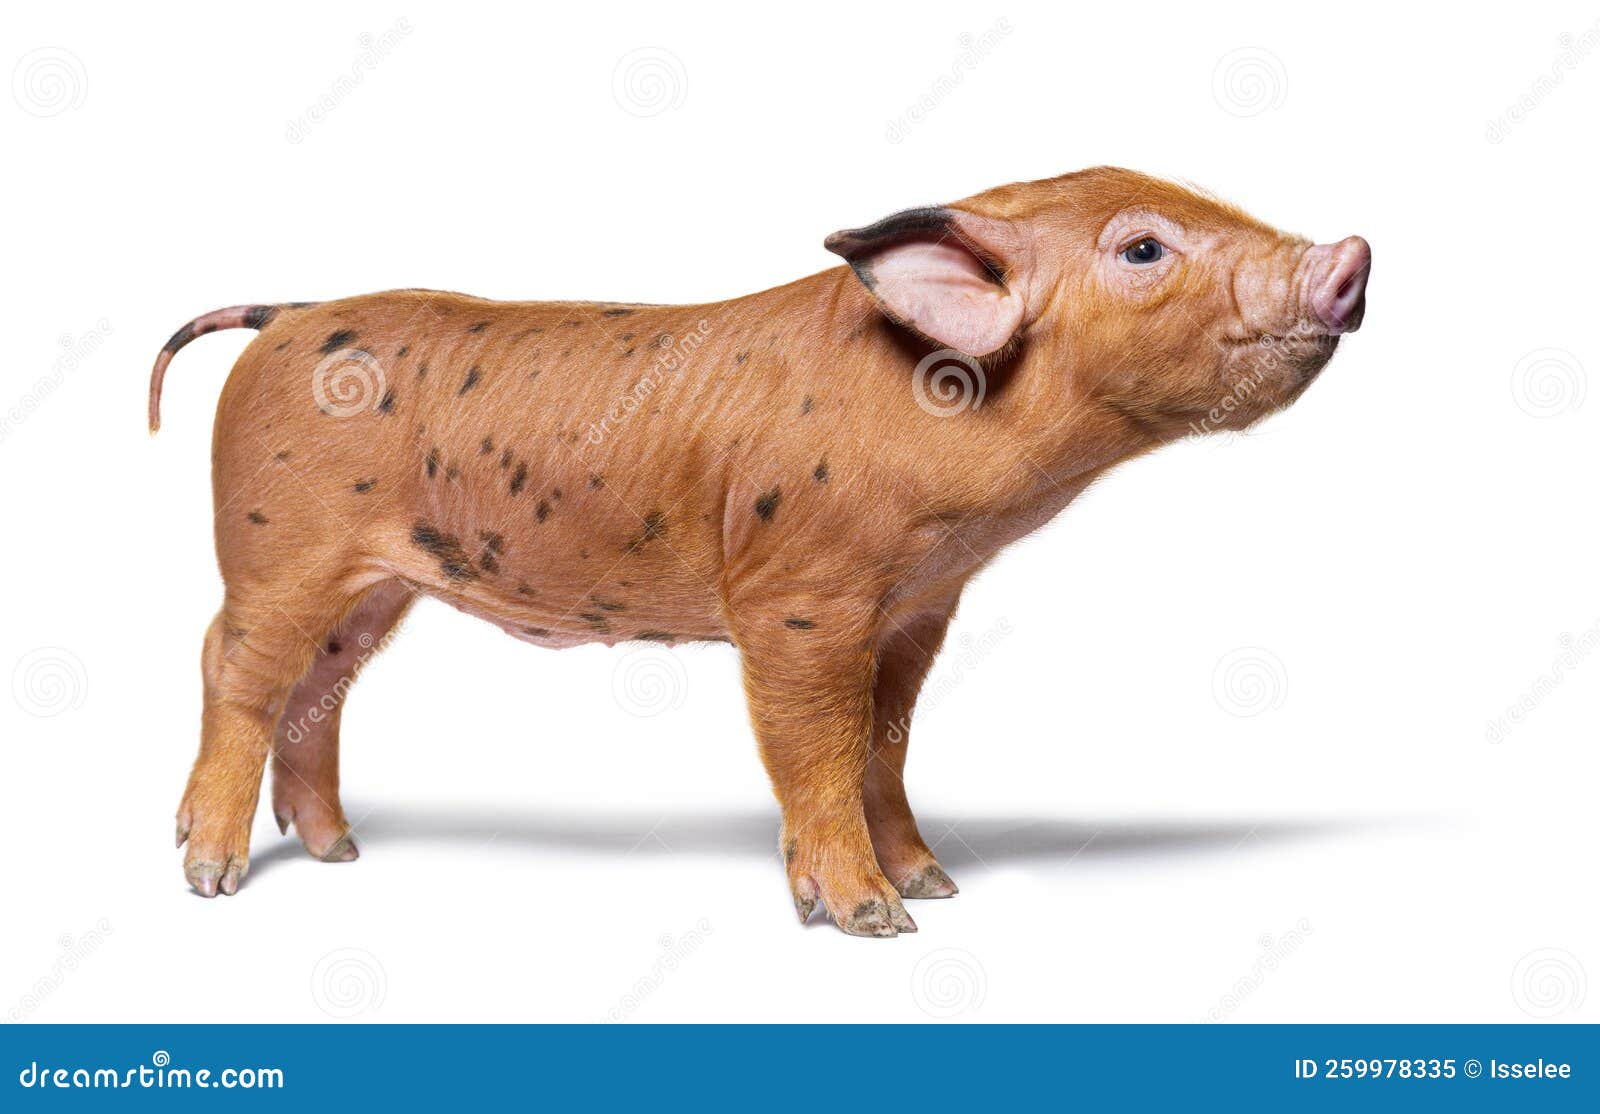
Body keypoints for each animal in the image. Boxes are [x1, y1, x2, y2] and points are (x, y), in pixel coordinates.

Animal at [149, 166, 1369, 935]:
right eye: (1143, 248)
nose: (1351, 252)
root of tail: (286, 315)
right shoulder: (798, 600)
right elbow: (815, 750)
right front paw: (877, 921)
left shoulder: (918, 607)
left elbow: (883, 744)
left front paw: (937, 885)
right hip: (277, 547)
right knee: (231, 667)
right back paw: (209, 877)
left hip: (380, 586)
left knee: (319, 685)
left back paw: (339, 854)